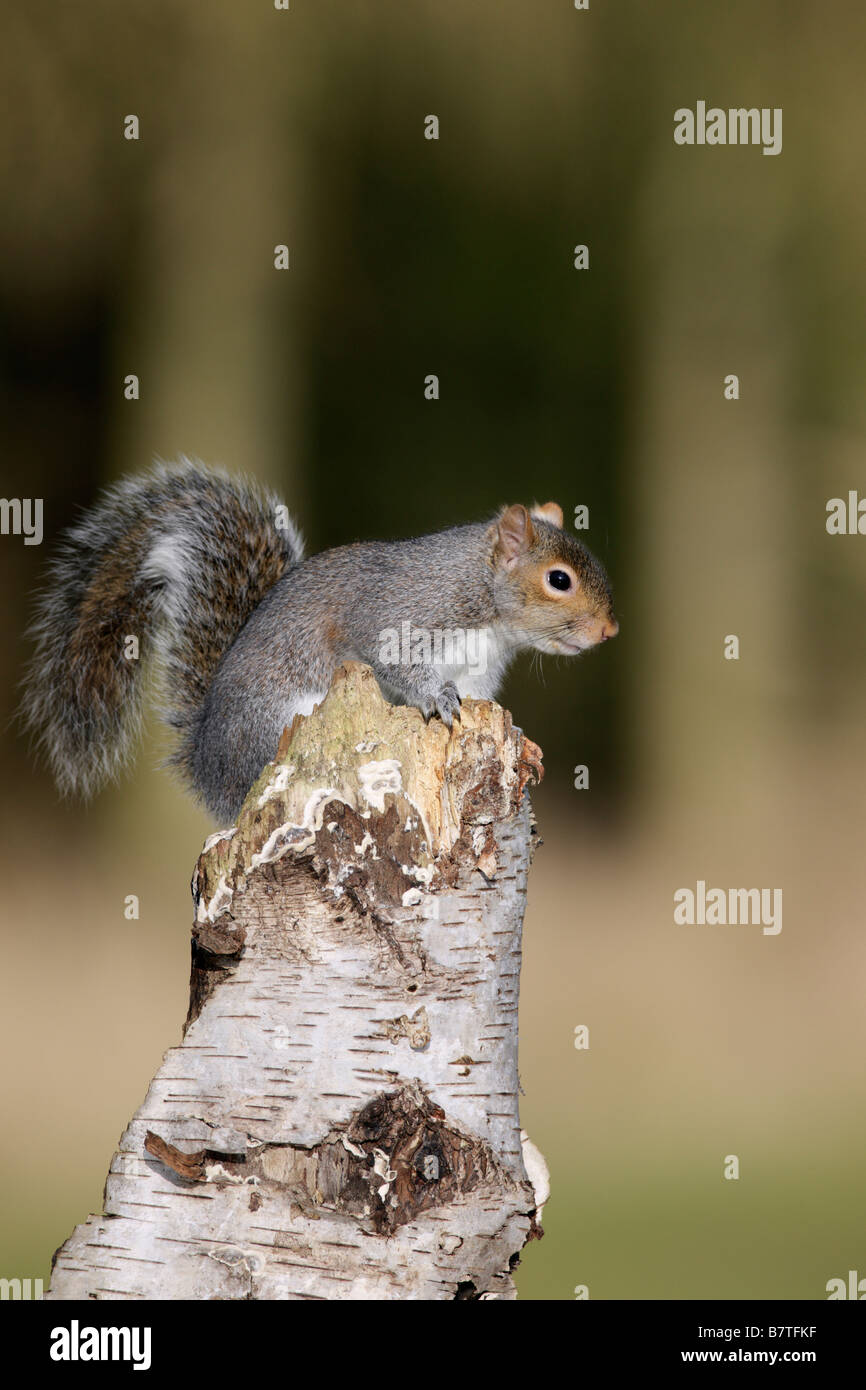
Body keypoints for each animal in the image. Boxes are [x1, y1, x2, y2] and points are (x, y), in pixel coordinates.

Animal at [21, 459, 618, 823]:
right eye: (559, 580)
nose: (609, 630)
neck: (486, 608)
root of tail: (209, 771)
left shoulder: (479, 669)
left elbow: (482, 702)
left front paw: (515, 734)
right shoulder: (395, 616)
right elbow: (396, 664)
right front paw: (435, 698)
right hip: (278, 730)